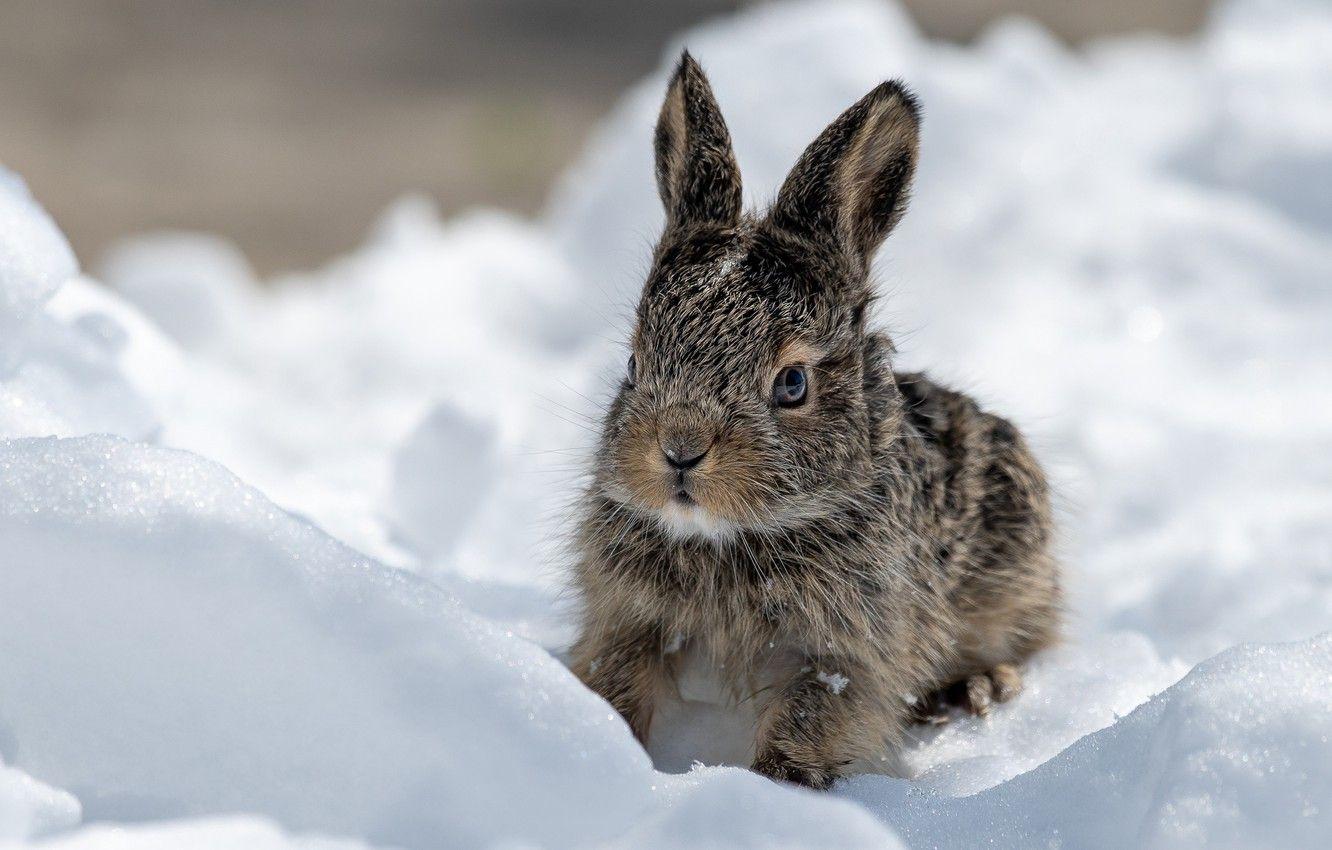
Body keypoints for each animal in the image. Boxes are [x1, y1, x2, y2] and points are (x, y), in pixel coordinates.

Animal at [569, 52, 1061, 790]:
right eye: (634, 362)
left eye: (792, 384)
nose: (680, 449)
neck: (726, 539)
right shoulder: (627, 618)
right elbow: (618, 681)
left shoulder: (850, 651)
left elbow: (812, 719)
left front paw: (776, 787)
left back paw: (979, 687)